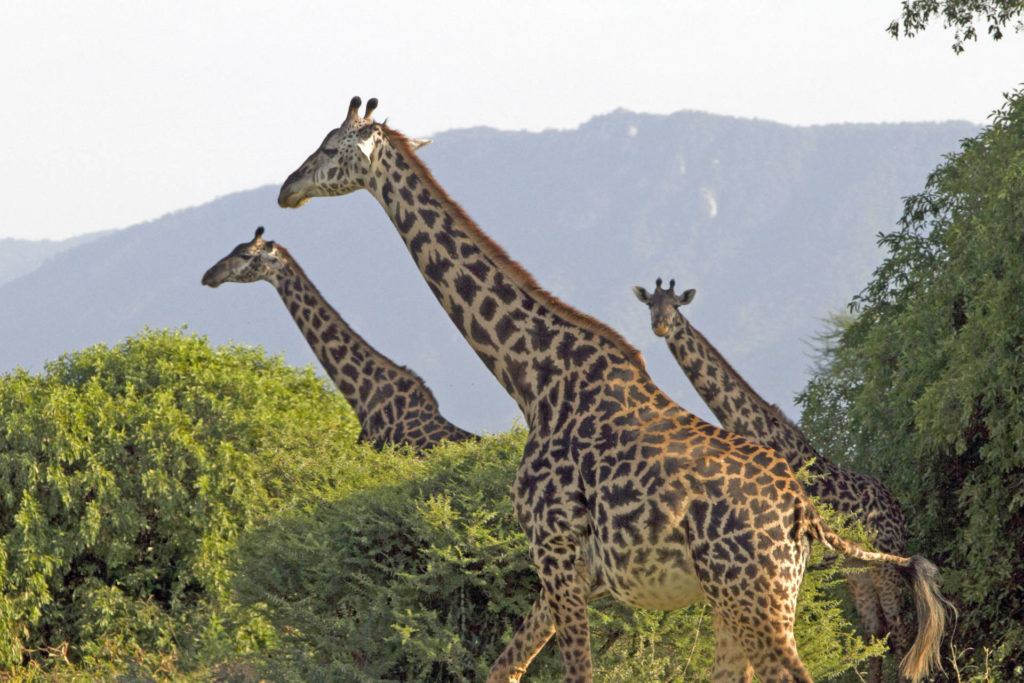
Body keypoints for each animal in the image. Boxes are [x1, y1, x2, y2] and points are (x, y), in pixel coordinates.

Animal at [633, 277, 912, 683]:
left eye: (676, 305)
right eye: (650, 305)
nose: (660, 326)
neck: (763, 434)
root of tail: (899, 511)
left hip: (884, 561)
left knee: (901, 629)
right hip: (855, 569)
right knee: (875, 633)